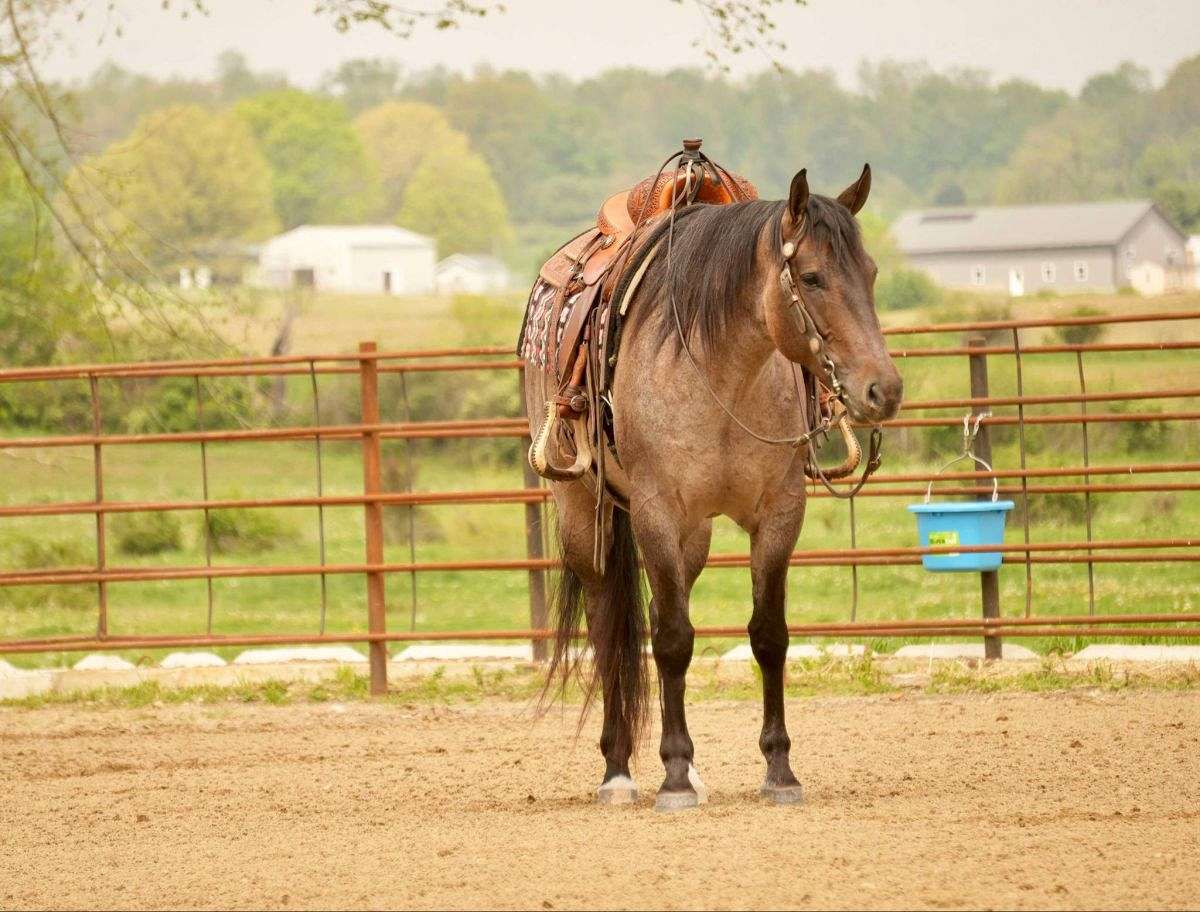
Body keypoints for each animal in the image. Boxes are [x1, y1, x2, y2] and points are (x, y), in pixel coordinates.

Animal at [522, 163, 903, 810]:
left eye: (872, 272)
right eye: (812, 276)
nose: (884, 389)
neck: (722, 373)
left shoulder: (779, 513)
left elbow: (768, 636)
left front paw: (779, 771)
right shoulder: (656, 511)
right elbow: (674, 639)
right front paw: (674, 775)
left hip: (693, 538)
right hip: (582, 511)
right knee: (608, 627)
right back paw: (619, 771)